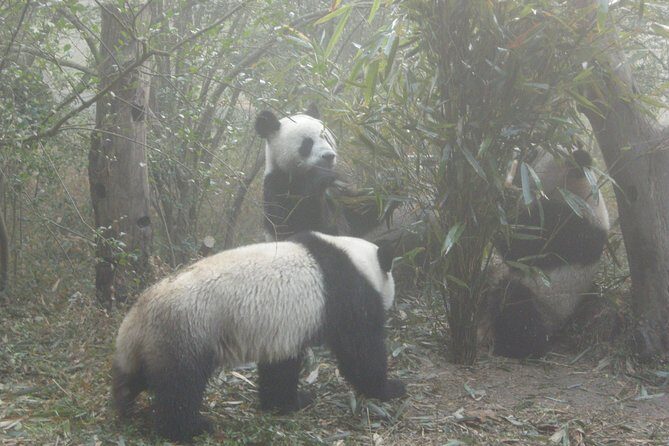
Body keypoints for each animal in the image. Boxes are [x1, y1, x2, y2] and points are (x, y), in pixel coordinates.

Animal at [111, 231, 405, 442]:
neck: (356, 260)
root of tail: (138, 315)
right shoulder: (344, 293)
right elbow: (360, 350)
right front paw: (390, 388)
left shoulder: (282, 331)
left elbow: (280, 367)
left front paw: (287, 403)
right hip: (187, 331)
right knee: (180, 386)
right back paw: (191, 428)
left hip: (153, 342)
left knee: (135, 374)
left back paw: (123, 402)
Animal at [255, 107, 339, 241]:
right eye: (307, 143)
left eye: (326, 138)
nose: (329, 156)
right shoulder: (277, 185)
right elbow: (291, 222)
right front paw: (322, 175)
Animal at [482, 148, 610, 359]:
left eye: (534, 154)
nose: (519, 153)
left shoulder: (569, 224)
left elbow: (519, 245)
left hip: (545, 305)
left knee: (517, 305)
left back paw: (514, 347)